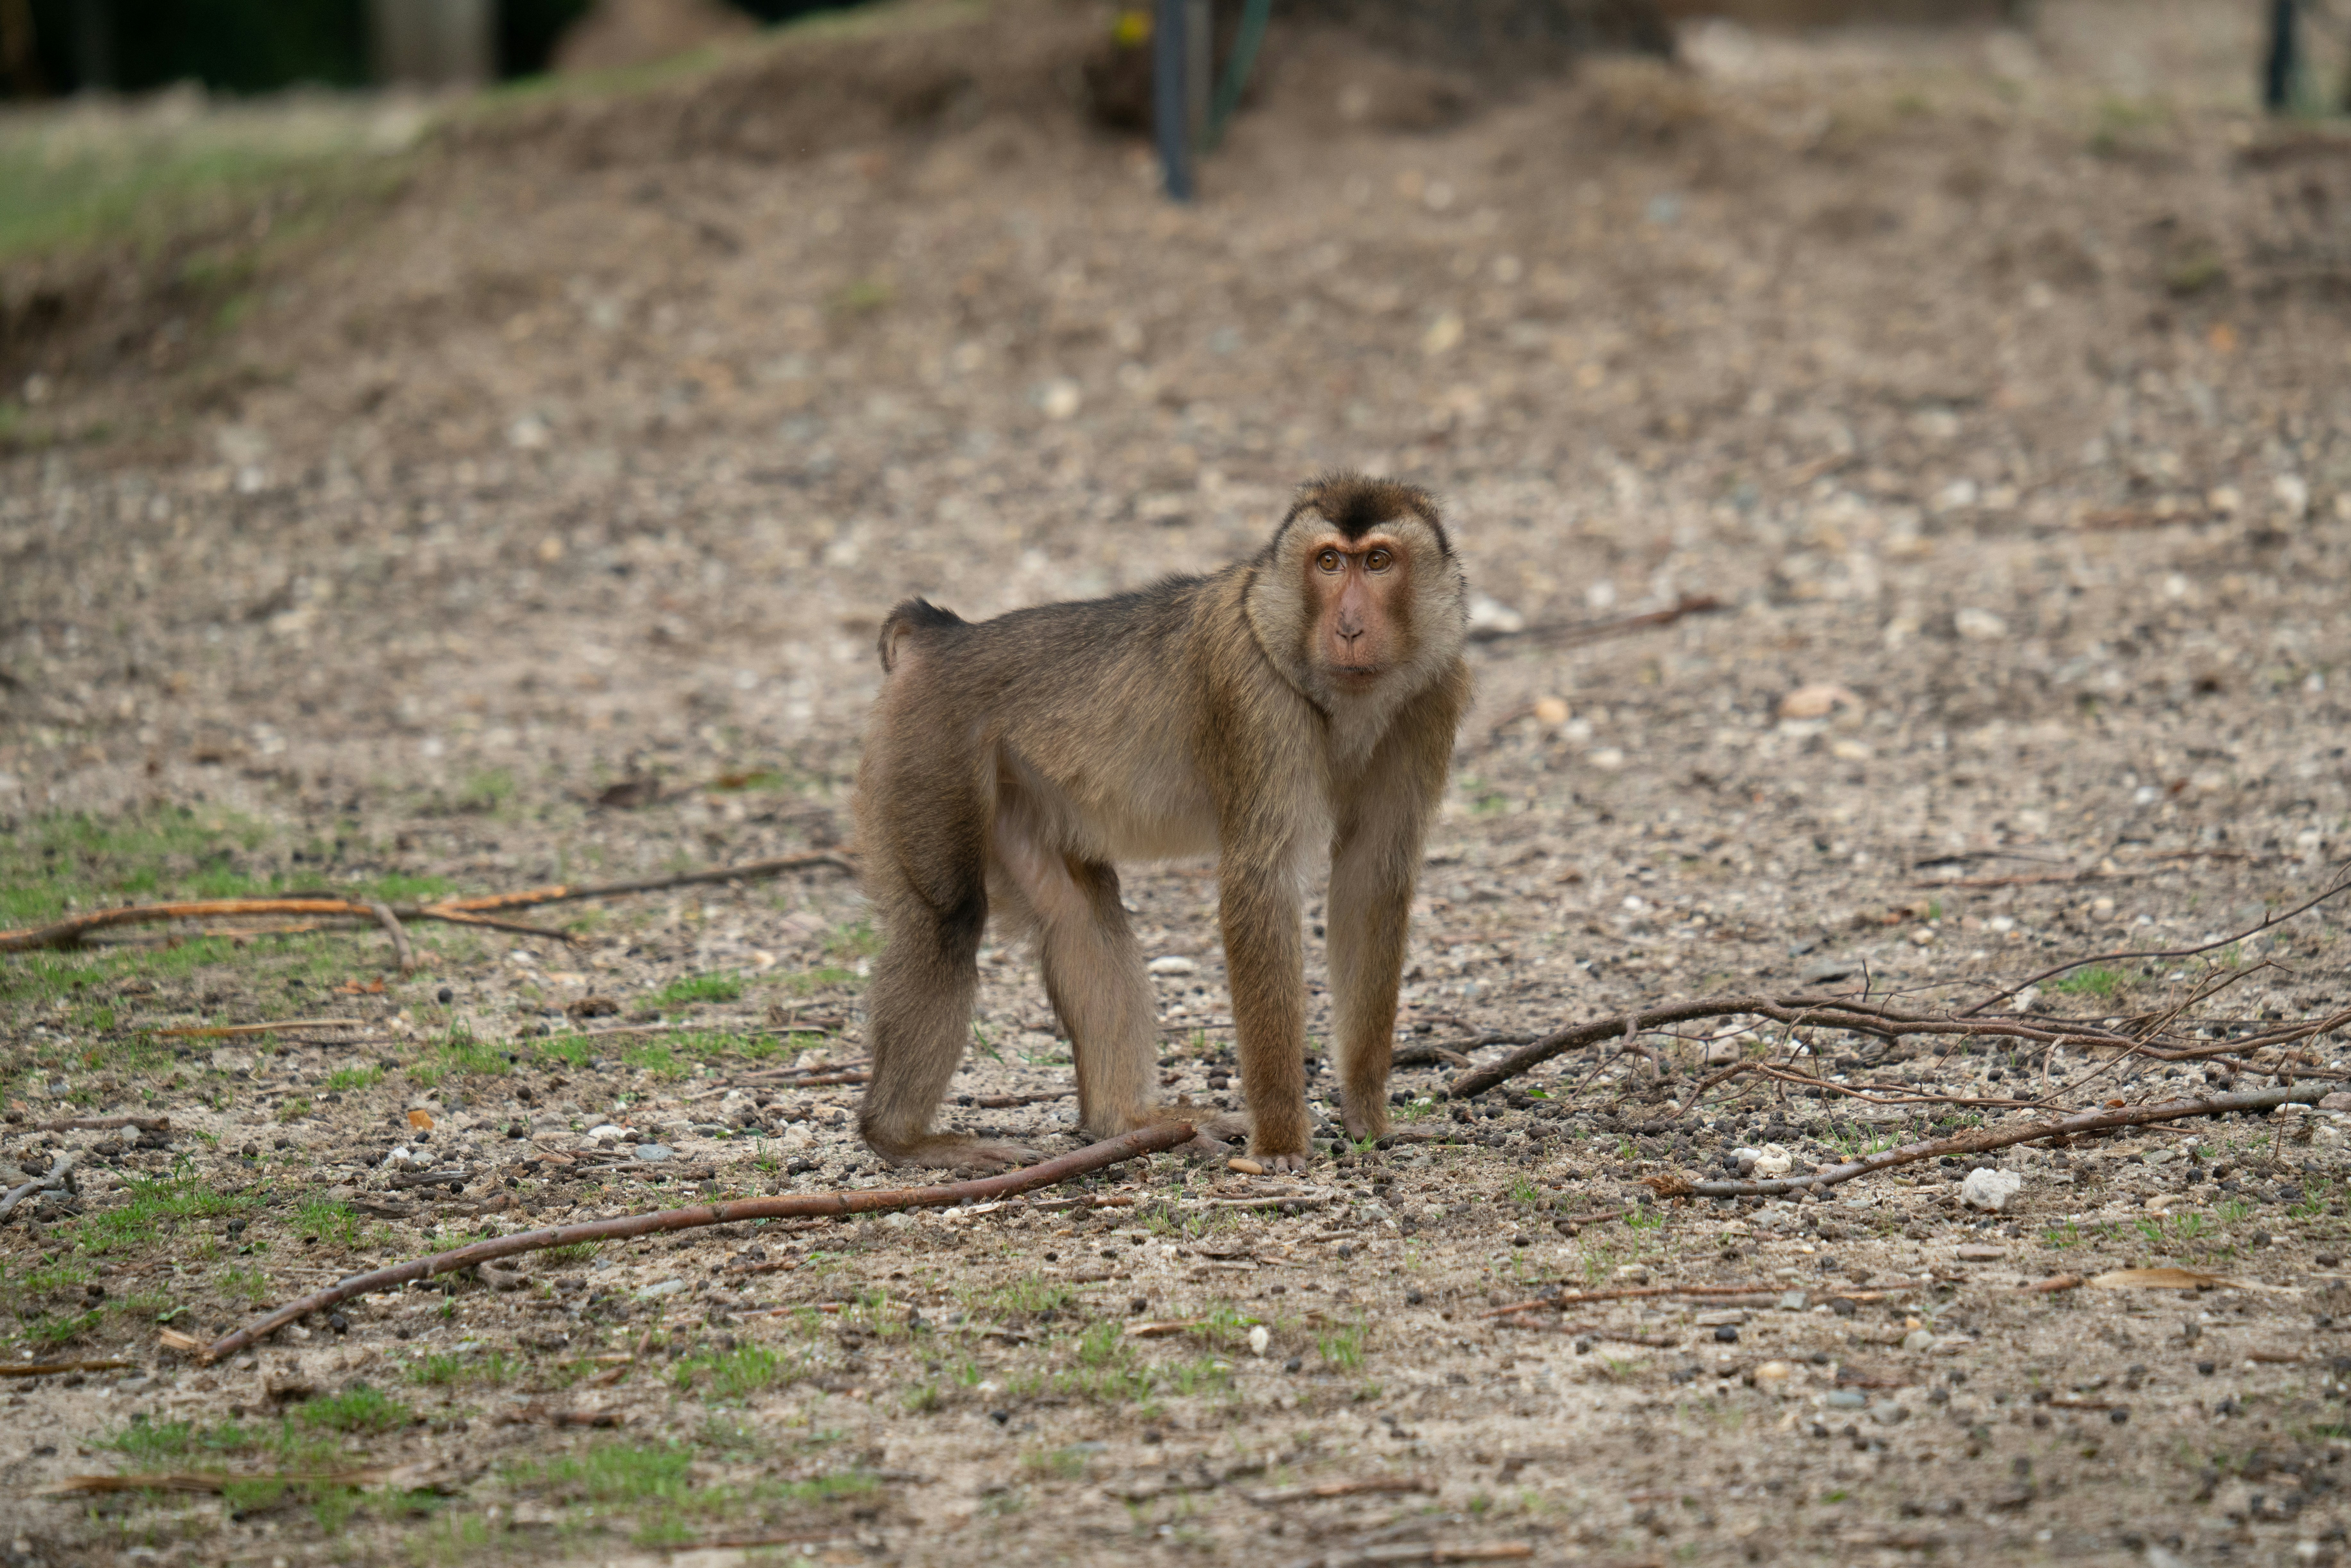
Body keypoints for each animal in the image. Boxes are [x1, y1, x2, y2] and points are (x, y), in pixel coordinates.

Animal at [851, 473, 1471, 1174]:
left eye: (1379, 562)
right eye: (1330, 563)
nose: (1348, 626)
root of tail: (945, 636)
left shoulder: (1432, 695)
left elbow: (1372, 877)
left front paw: (1369, 1116)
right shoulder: (1254, 694)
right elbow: (1262, 882)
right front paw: (1281, 1140)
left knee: (1077, 915)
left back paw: (1125, 1121)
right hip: (929, 743)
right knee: (948, 919)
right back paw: (900, 1137)